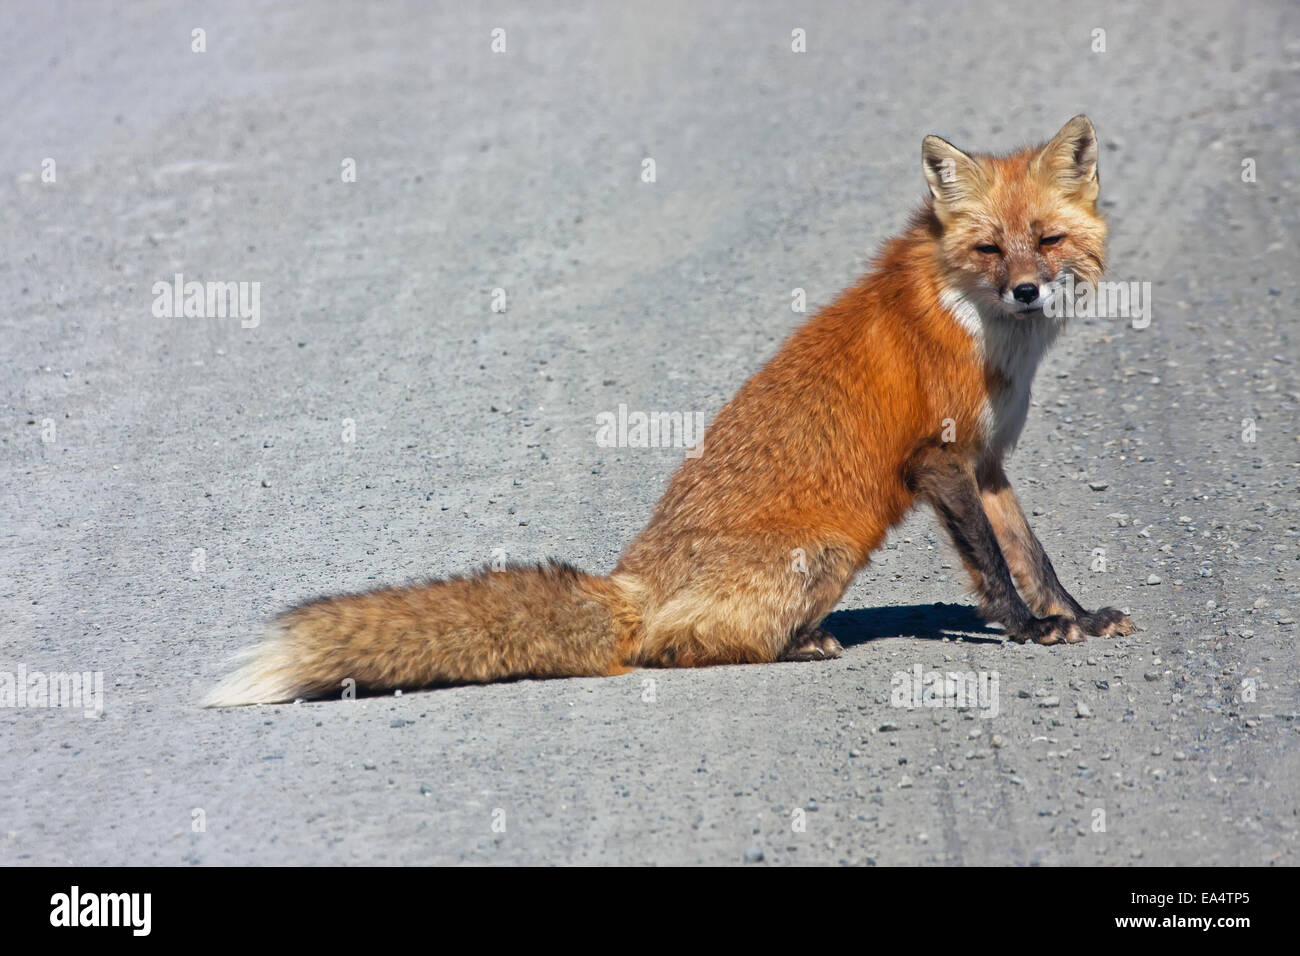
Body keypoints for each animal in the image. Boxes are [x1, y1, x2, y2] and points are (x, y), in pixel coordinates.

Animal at [205, 115, 1136, 708]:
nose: (1025, 289)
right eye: (989, 247)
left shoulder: (988, 463)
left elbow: (1033, 554)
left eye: (1046, 240)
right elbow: (993, 569)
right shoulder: (938, 460)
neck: (980, 330)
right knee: (672, 648)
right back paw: (797, 645)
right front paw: (1025, 629)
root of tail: (632, 584)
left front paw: (1074, 616)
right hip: (826, 553)